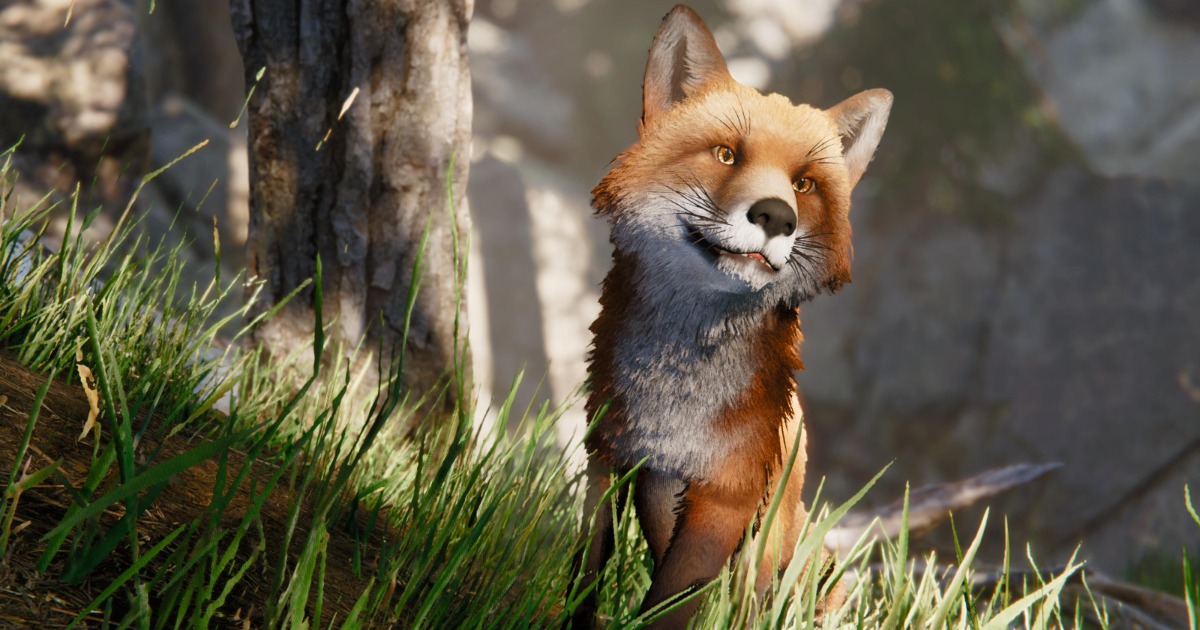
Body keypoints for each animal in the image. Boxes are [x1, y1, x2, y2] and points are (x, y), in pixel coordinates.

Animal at [567, 5, 892, 629]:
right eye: (726, 155)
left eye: (804, 184)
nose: (776, 216)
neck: (673, 402)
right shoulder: (608, 458)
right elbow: (584, 581)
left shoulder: (725, 494)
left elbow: (669, 608)